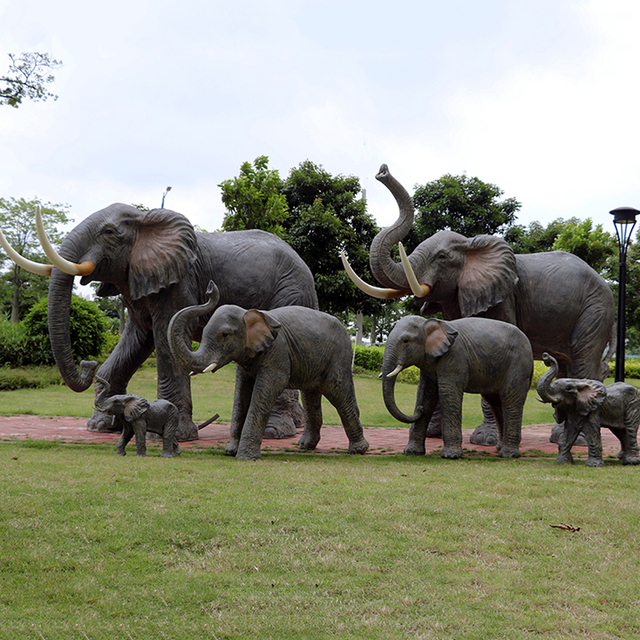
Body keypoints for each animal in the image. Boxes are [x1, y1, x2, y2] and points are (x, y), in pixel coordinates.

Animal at [1, 204, 318, 441]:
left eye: (109, 232)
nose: (87, 365)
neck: (145, 218)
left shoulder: (179, 282)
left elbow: (166, 337)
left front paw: (172, 434)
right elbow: (136, 340)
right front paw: (101, 426)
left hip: (291, 290)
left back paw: (275, 432)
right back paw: (294, 426)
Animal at [167, 280, 370, 460]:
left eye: (225, 335)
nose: (210, 288)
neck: (248, 313)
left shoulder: (277, 351)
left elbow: (268, 388)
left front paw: (246, 457)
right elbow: (241, 392)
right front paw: (231, 451)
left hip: (339, 356)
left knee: (338, 392)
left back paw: (358, 450)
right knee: (311, 395)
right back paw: (306, 446)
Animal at [342, 164, 616, 444]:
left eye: (442, 257)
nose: (382, 171)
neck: (470, 244)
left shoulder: (503, 297)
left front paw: (485, 440)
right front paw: (432, 434)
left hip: (596, 309)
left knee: (583, 358)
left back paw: (577, 441)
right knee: (565, 363)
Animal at [381, 315, 533, 459]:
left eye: (406, 341)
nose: (419, 409)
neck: (429, 322)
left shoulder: (454, 357)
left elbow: (448, 395)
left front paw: (450, 456)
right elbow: (425, 394)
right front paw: (412, 452)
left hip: (519, 365)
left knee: (510, 400)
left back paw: (509, 454)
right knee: (496, 402)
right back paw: (500, 449)